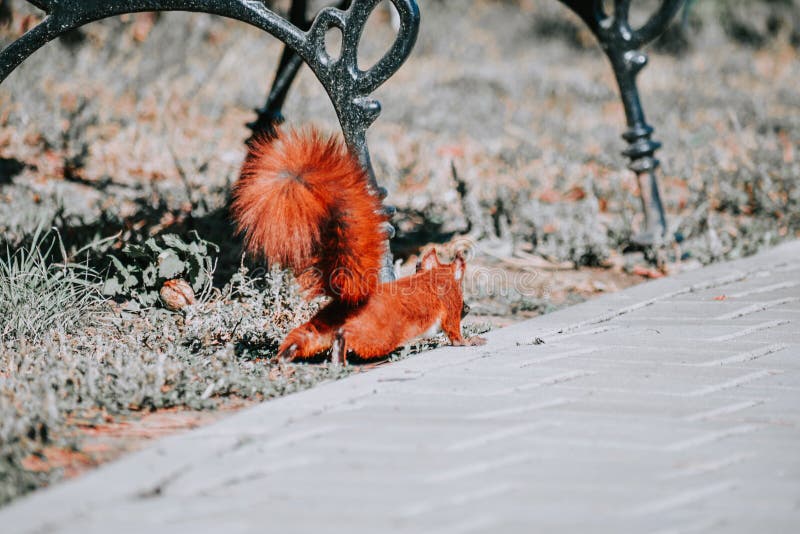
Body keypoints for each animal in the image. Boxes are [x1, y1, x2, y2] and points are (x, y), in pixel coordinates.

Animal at [231, 126, 486, 363]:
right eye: (462, 292)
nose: (468, 308)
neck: (433, 278)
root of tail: (348, 303)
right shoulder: (450, 306)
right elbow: (454, 333)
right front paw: (471, 340)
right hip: (377, 335)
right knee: (348, 336)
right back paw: (342, 352)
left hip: (321, 325)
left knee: (307, 337)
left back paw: (290, 356)